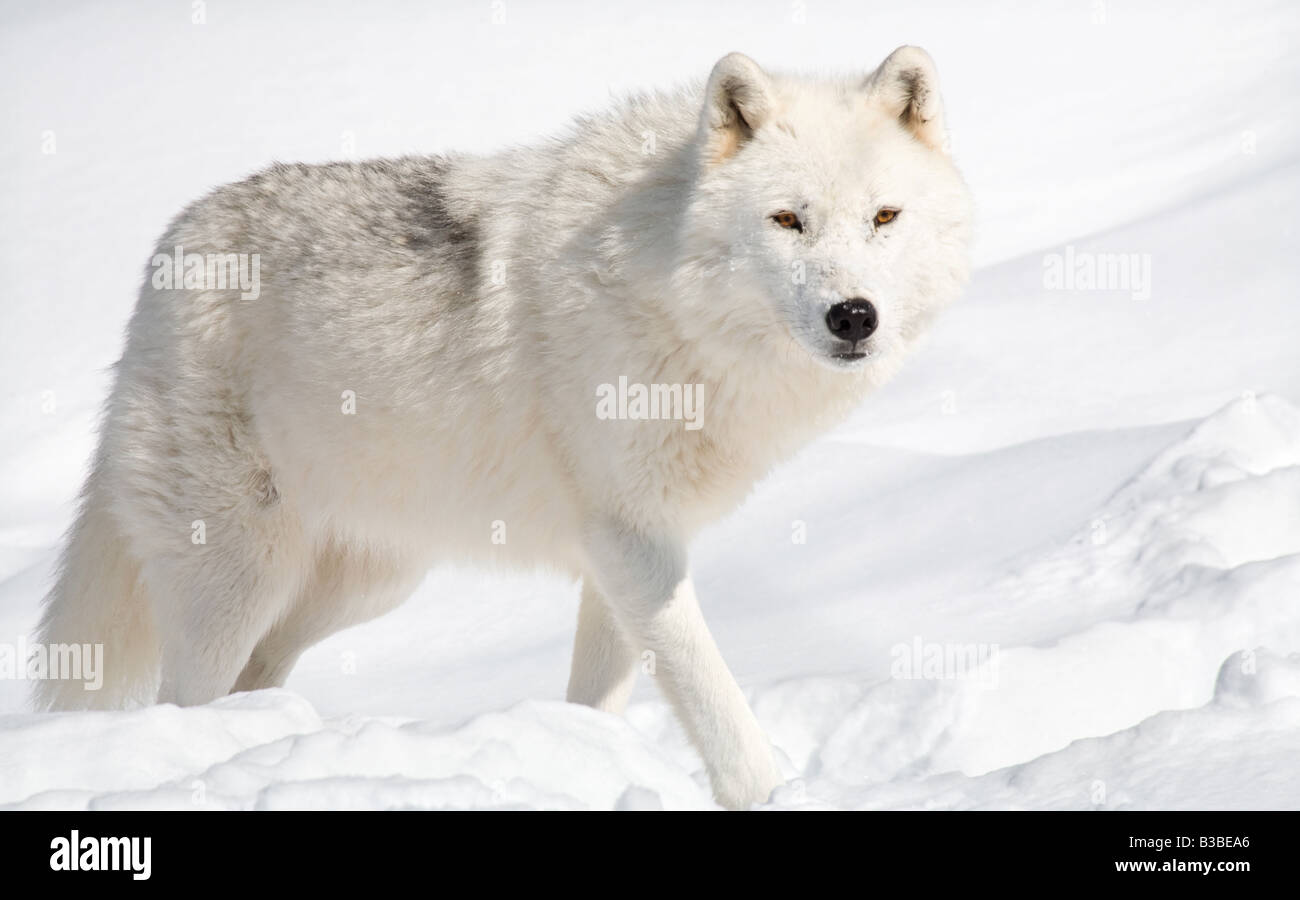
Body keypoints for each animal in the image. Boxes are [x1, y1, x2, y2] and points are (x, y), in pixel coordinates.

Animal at [36, 47, 972, 809]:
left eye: (884, 218)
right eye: (788, 220)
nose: (854, 316)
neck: (669, 301)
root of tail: (167, 249)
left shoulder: (622, 554)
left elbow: (599, 700)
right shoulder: (634, 544)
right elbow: (716, 702)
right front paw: (769, 793)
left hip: (366, 585)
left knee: (256, 682)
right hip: (237, 579)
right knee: (181, 701)